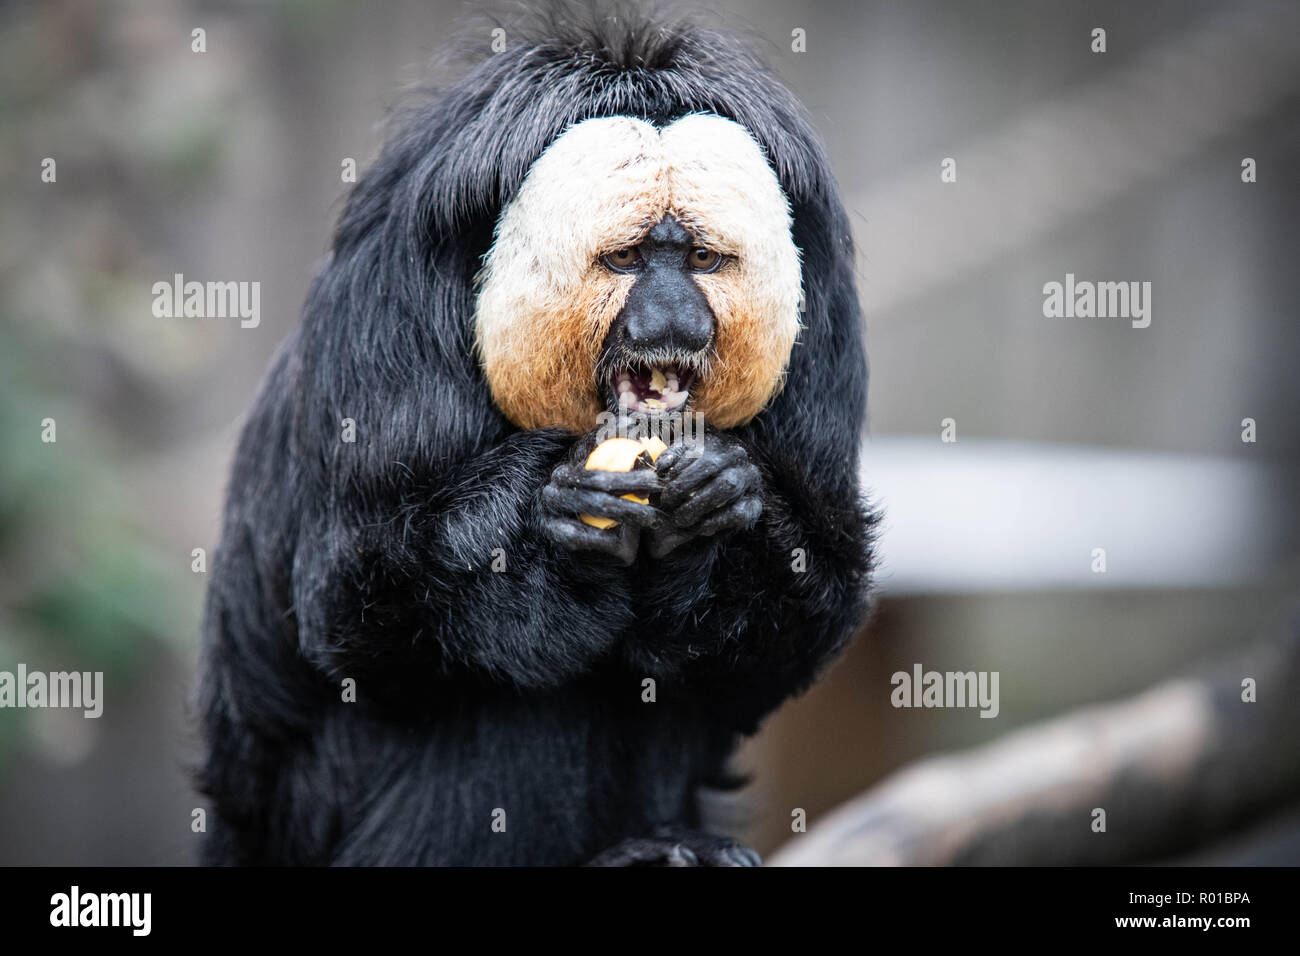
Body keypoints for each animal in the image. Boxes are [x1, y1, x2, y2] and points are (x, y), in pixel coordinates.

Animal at [195, 3, 875, 866]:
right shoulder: (385, 307)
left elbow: (774, 649)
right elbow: (358, 614)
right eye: (626, 259)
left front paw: (723, 502)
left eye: (700, 258)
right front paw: (549, 520)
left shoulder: (827, 330)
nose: (674, 325)